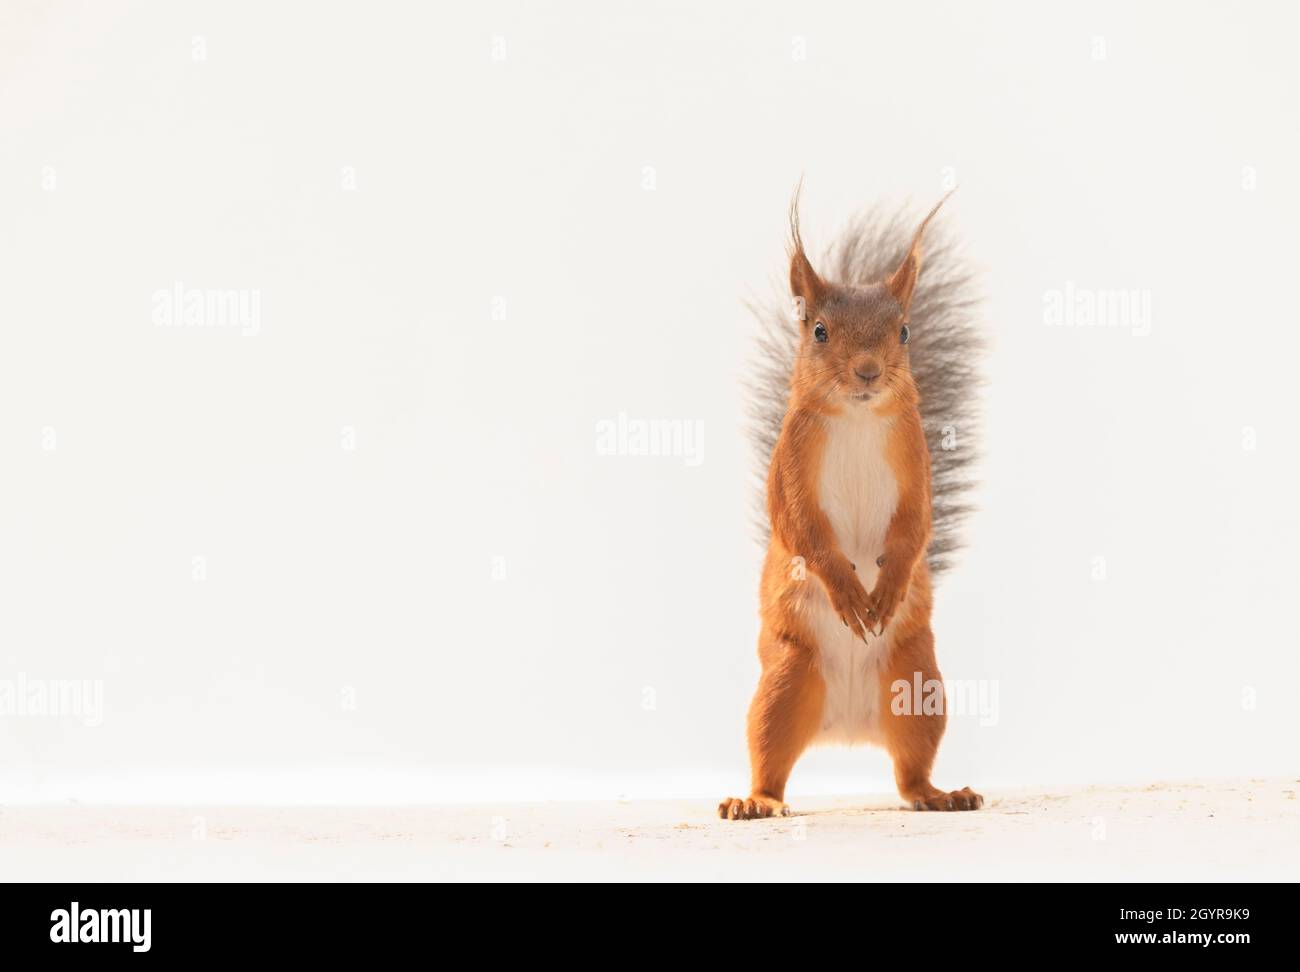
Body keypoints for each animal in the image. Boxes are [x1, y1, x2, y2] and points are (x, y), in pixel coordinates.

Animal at [720, 187, 984, 820]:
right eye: (818, 330)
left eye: (906, 332)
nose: (868, 370)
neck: (858, 417)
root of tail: (844, 727)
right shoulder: (789, 470)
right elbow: (803, 532)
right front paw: (848, 592)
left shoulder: (915, 464)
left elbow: (916, 526)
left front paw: (885, 591)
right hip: (784, 682)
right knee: (770, 759)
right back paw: (755, 802)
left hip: (919, 686)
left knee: (910, 772)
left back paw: (942, 795)